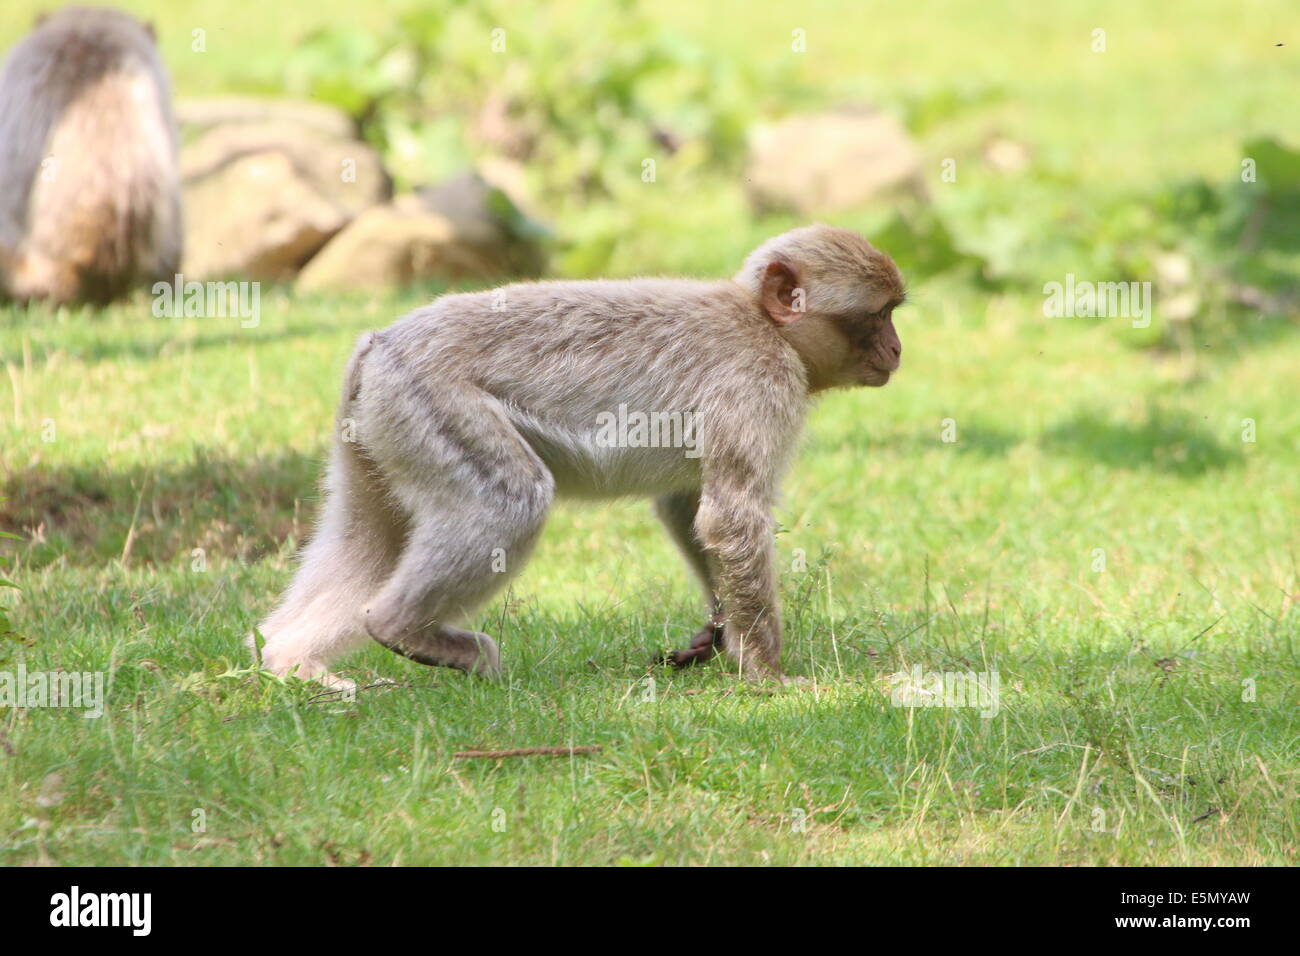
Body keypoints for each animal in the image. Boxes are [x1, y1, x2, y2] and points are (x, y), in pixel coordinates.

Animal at [255, 225, 905, 687]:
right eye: (880, 314)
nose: (898, 349)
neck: (765, 326)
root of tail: (380, 343)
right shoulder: (761, 384)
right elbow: (730, 517)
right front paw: (768, 674)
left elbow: (687, 506)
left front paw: (716, 635)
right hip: (434, 402)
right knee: (511, 499)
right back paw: (401, 629)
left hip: (377, 424)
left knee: (370, 534)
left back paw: (291, 658)